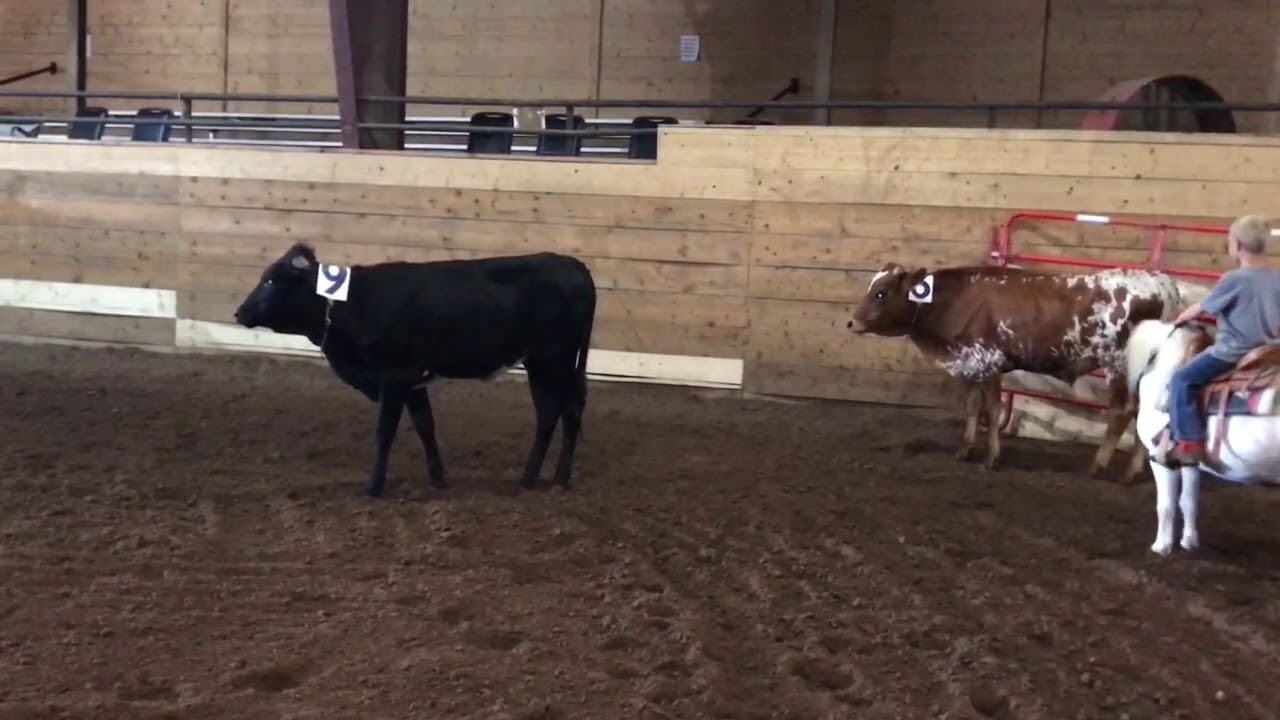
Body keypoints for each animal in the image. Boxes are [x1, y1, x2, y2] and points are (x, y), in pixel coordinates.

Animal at [233, 242, 597, 498]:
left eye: (271, 281)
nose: (239, 312)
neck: (353, 304)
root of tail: (574, 265)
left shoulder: (393, 377)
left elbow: (385, 432)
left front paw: (373, 486)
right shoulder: (412, 380)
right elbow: (425, 426)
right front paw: (437, 478)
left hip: (558, 360)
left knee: (570, 411)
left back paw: (559, 479)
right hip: (538, 363)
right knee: (548, 412)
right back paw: (529, 477)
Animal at [847, 262, 1187, 479]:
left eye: (882, 293)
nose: (852, 322)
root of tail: (1160, 282)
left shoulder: (990, 360)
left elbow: (992, 409)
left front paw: (992, 458)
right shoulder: (972, 364)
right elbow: (972, 407)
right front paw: (965, 449)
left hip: (1118, 363)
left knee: (1121, 411)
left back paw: (1098, 466)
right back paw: (1133, 471)